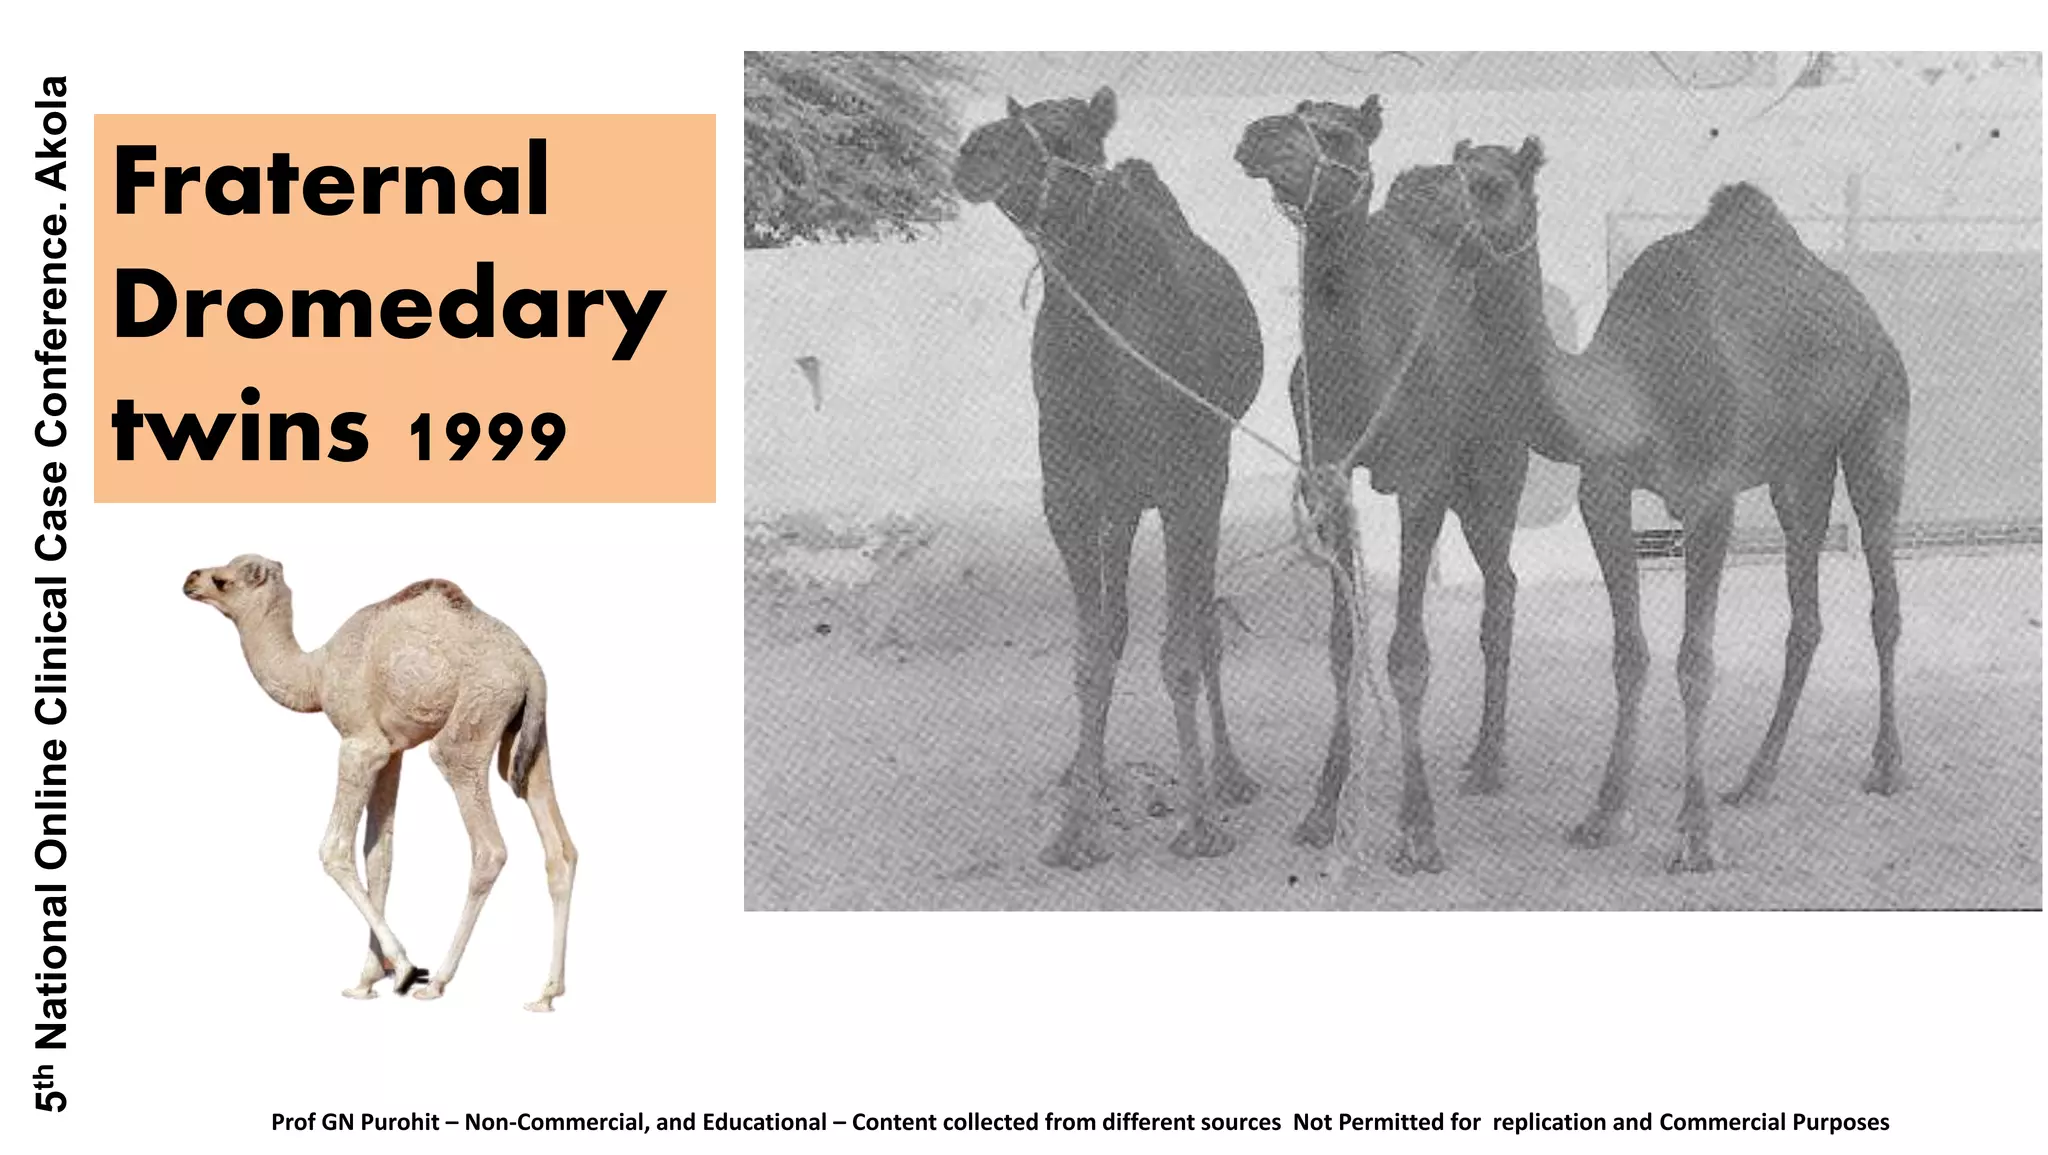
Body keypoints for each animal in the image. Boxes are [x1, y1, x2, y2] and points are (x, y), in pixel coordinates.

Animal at [184, 556, 577, 1007]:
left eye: (222, 581)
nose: (190, 579)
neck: (317, 673)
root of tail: (529, 668)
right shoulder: (391, 751)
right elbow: (380, 856)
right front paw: (365, 981)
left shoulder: (360, 743)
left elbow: (334, 849)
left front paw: (403, 969)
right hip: (529, 735)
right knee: (559, 848)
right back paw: (546, 993)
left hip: (471, 723)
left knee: (488, 846)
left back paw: (438, 981)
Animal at [954, 88, 1264, 868]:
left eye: (1063, 135)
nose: (973, 151)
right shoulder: (1066, 493)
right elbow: (1091, 653)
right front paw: (1075, 827)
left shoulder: (1191, 482)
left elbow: (1183, 650)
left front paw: (1201, 825)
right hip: (1122, 501)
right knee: (1117, 624)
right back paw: (1080, 769)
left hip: (1203, 473)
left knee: (1204, 618)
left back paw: (1230, 775)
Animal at [1236, 98, 1539, 871]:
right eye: (1298, 110)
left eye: (1339, 133)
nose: (1259, 136)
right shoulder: (1327, 478)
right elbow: (1344, 646)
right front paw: (1321, 810)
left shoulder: (1422, 481)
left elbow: (1407, 654)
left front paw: (1417, 828)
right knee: (1502, 580)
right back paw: (1480, 756)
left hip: (1493, 473)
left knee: (1502, 584)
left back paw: (1492, 762)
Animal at [1375, 139, 1909, 871]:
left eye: (1490, 183)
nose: (1404, 188)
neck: (1636, 389)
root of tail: (1867, 315)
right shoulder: (1604, 488)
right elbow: (1630, 654)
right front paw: (1606, 814)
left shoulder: (1710, 498)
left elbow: (1696, 662)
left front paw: (1695, 835)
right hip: (1799, 466)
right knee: (1805, 612)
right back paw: (1756, 777)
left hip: (1880, 413)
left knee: (1883, 595)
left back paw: (1887, 767)